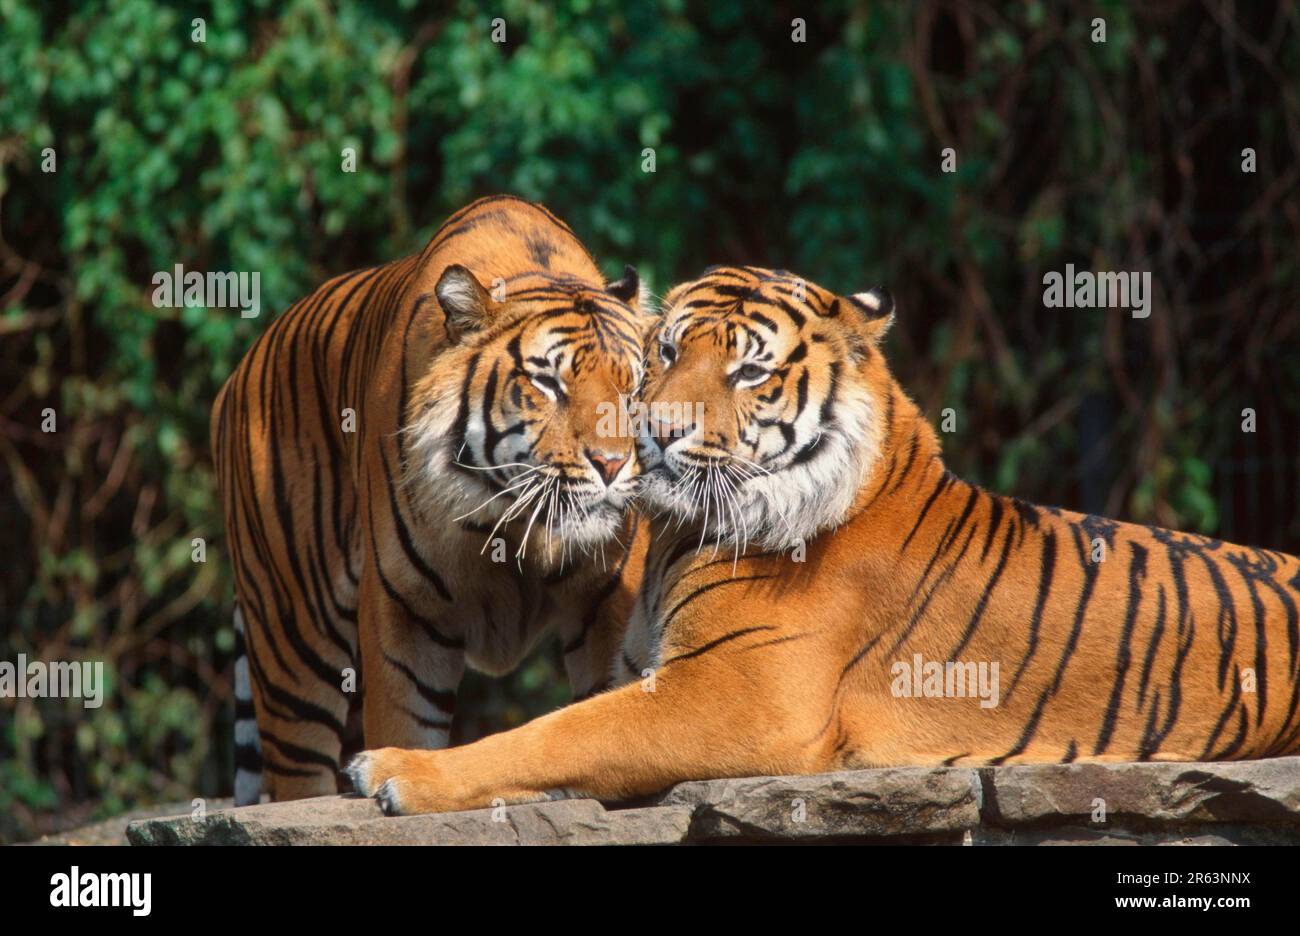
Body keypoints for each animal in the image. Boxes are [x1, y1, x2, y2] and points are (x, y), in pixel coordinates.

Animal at [211, 195, 651, 805]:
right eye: (548, 384)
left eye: (634, 387)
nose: (611, 465)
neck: (510, 523)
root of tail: (236, 376)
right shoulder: (405, 610)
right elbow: (406, 730)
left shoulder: (607, 598)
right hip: (291, 643)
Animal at [347, 264, 1300, 816]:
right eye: (665, 352)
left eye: (749, 371)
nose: (651, 433)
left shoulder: (734, 698)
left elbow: (554, 735)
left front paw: (393, 771)